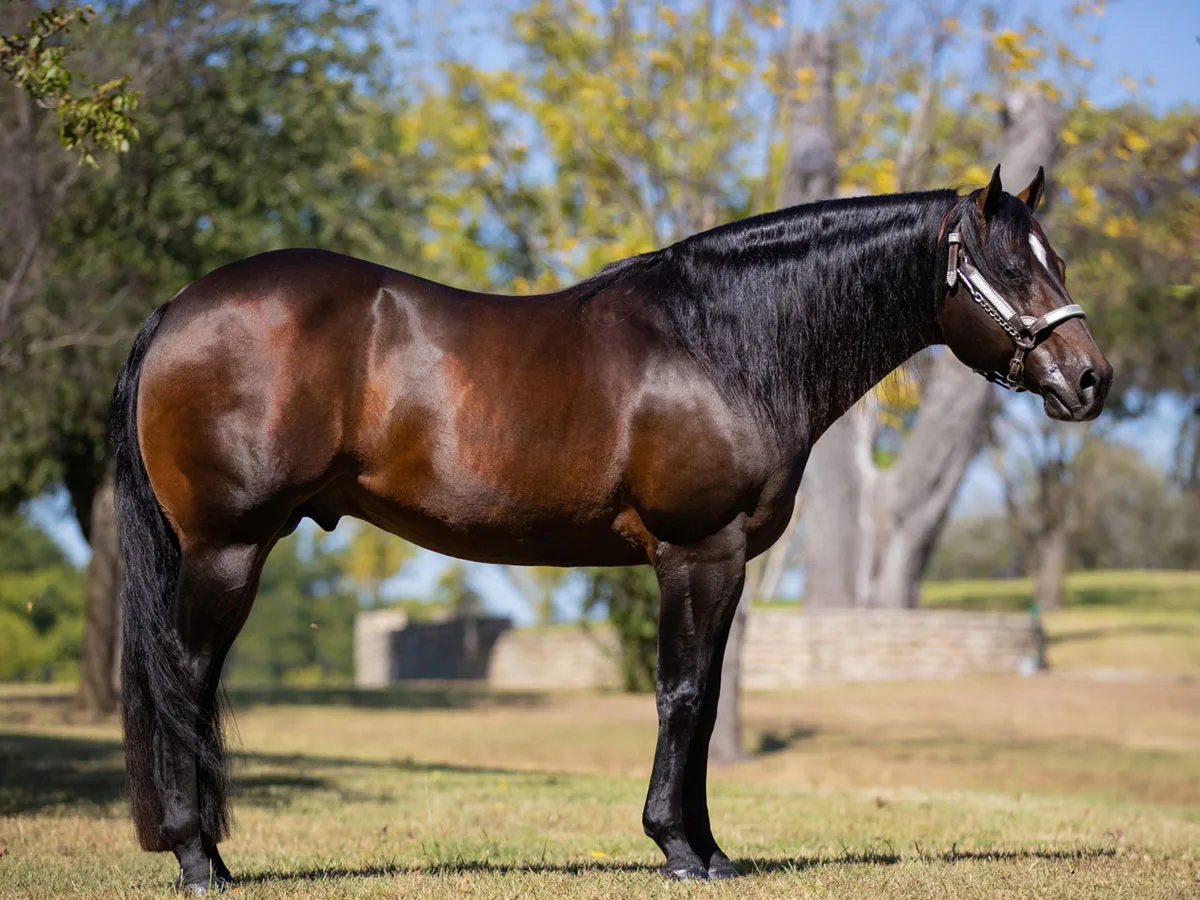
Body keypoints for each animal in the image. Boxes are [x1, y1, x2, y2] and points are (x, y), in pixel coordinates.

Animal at [111, 164, 1111, 892]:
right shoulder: (696, 552)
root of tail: (176, 309)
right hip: (228, 548)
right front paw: (678, 849)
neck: (718, 342)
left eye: (1058, 261)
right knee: (186, 682)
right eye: (1013, 267)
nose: (1091, 378)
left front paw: (709, 849)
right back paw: (201, 861)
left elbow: (704, 699)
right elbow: (684, 697)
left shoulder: (721, 561)